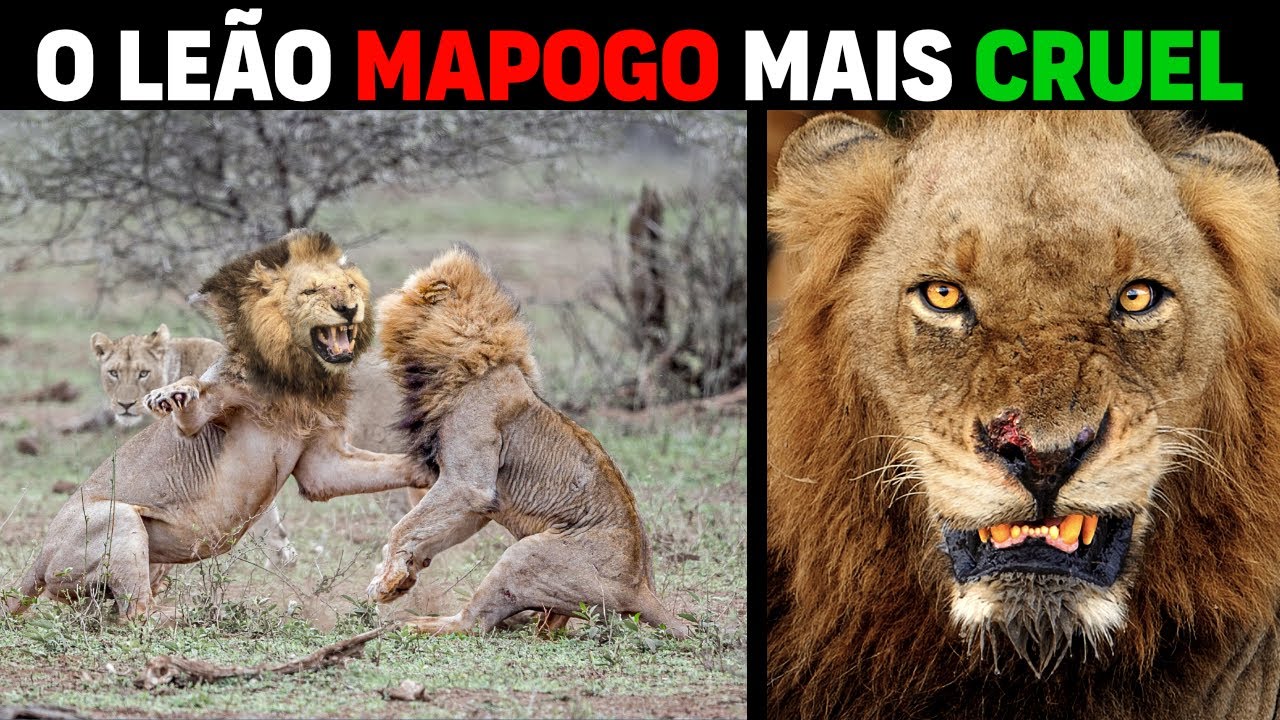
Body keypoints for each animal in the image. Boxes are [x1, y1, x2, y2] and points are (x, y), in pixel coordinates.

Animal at [5, 229, 432, 620]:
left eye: (350, 285)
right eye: (309, 291)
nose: (348, 307)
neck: (297, 378)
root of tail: (40, 556)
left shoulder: (321, 464)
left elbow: (386, 467)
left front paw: (429, 469)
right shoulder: (209, 413)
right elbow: (192, 399)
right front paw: (170, 395)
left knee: (111, 611)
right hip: (120, 517)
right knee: (134, 614)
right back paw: (200, 615)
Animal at [363, 246, 688, 638]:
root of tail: (642, 590)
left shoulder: (467, 484)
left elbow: (403, 526)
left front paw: (384, 582)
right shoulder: (478, 503)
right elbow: (428, 530)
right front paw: (403, 576)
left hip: (523, 555)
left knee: (474, 623)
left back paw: (414, 624)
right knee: (549, 624)